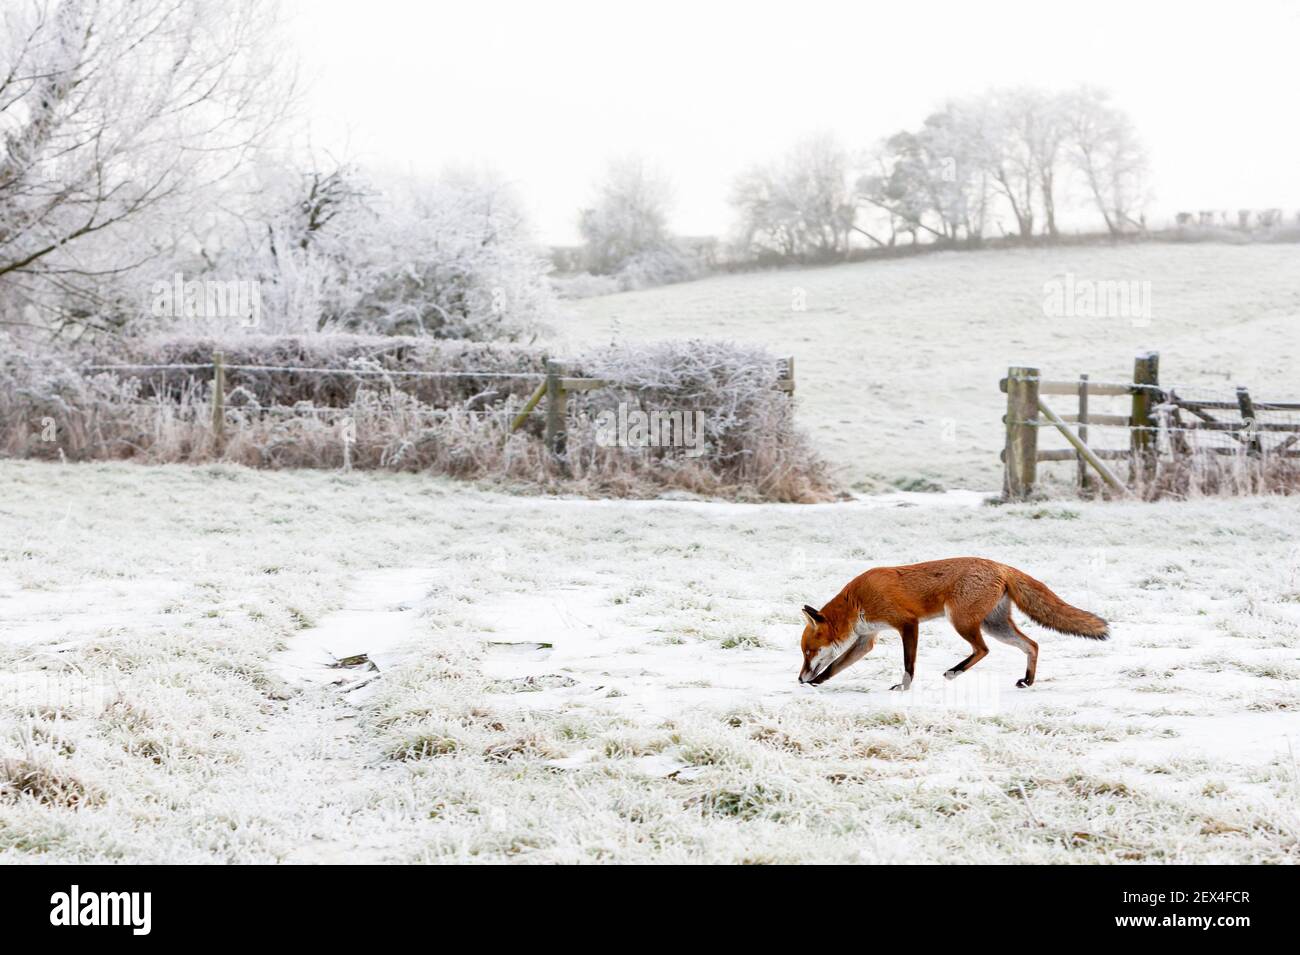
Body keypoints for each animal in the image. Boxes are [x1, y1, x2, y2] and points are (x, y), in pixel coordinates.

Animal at [797, 557, 1107, 689]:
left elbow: (908, 664)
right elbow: (836, 667)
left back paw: (954, 672)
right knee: (1032, 644)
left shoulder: (907, 623)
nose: (799, 678)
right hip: (996, 626)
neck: (856, 602)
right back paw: (1028, 681)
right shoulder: (866, 639)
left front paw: (904, 687)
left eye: (808, 652)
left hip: (961, 621)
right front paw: (816, 682)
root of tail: (1000, 565)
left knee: (983, 650)